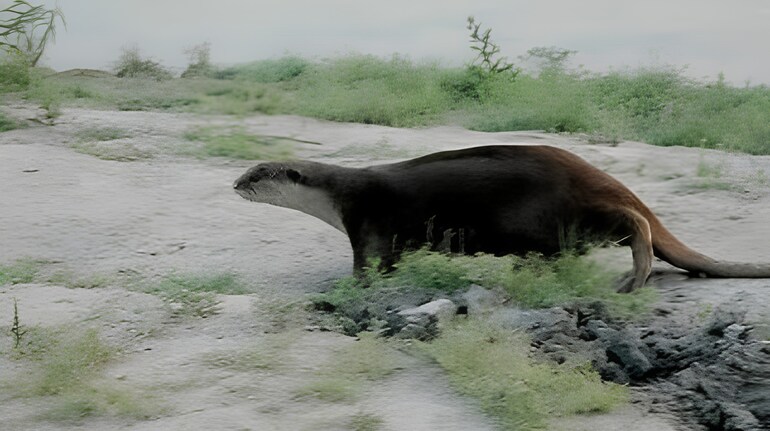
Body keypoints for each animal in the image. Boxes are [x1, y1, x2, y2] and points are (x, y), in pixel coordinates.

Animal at [233, 145, 770, 292]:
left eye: (259, 173)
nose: (235, 183)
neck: (342, 194)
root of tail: (598, 176)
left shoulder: (369, 223)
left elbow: (370, 266)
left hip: (573, 213)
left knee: (633, 225)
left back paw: (633, 278)